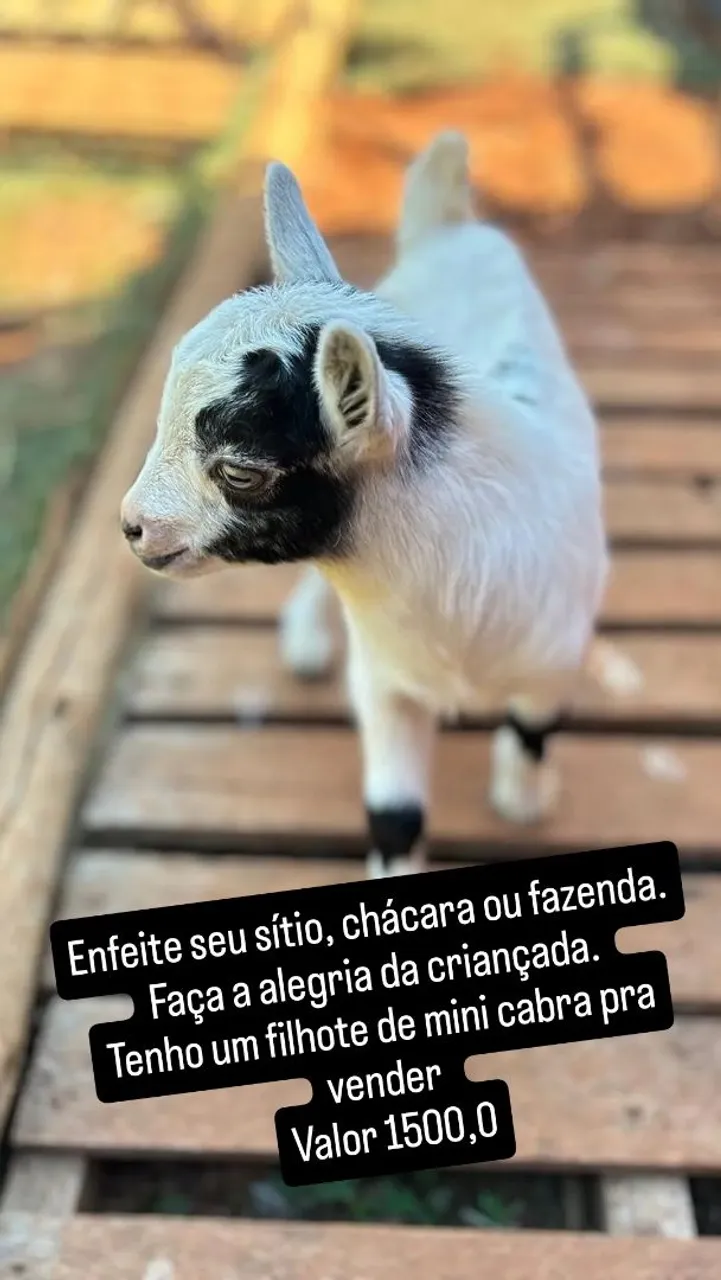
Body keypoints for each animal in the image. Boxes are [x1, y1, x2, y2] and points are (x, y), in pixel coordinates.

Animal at [121, 131, 608, 879]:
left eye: (240, 472)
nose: (133, 526)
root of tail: (449, 223)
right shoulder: (385, 682)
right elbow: (394, 814)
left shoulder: (556, 658)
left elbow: (534, 727)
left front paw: (523, 801)